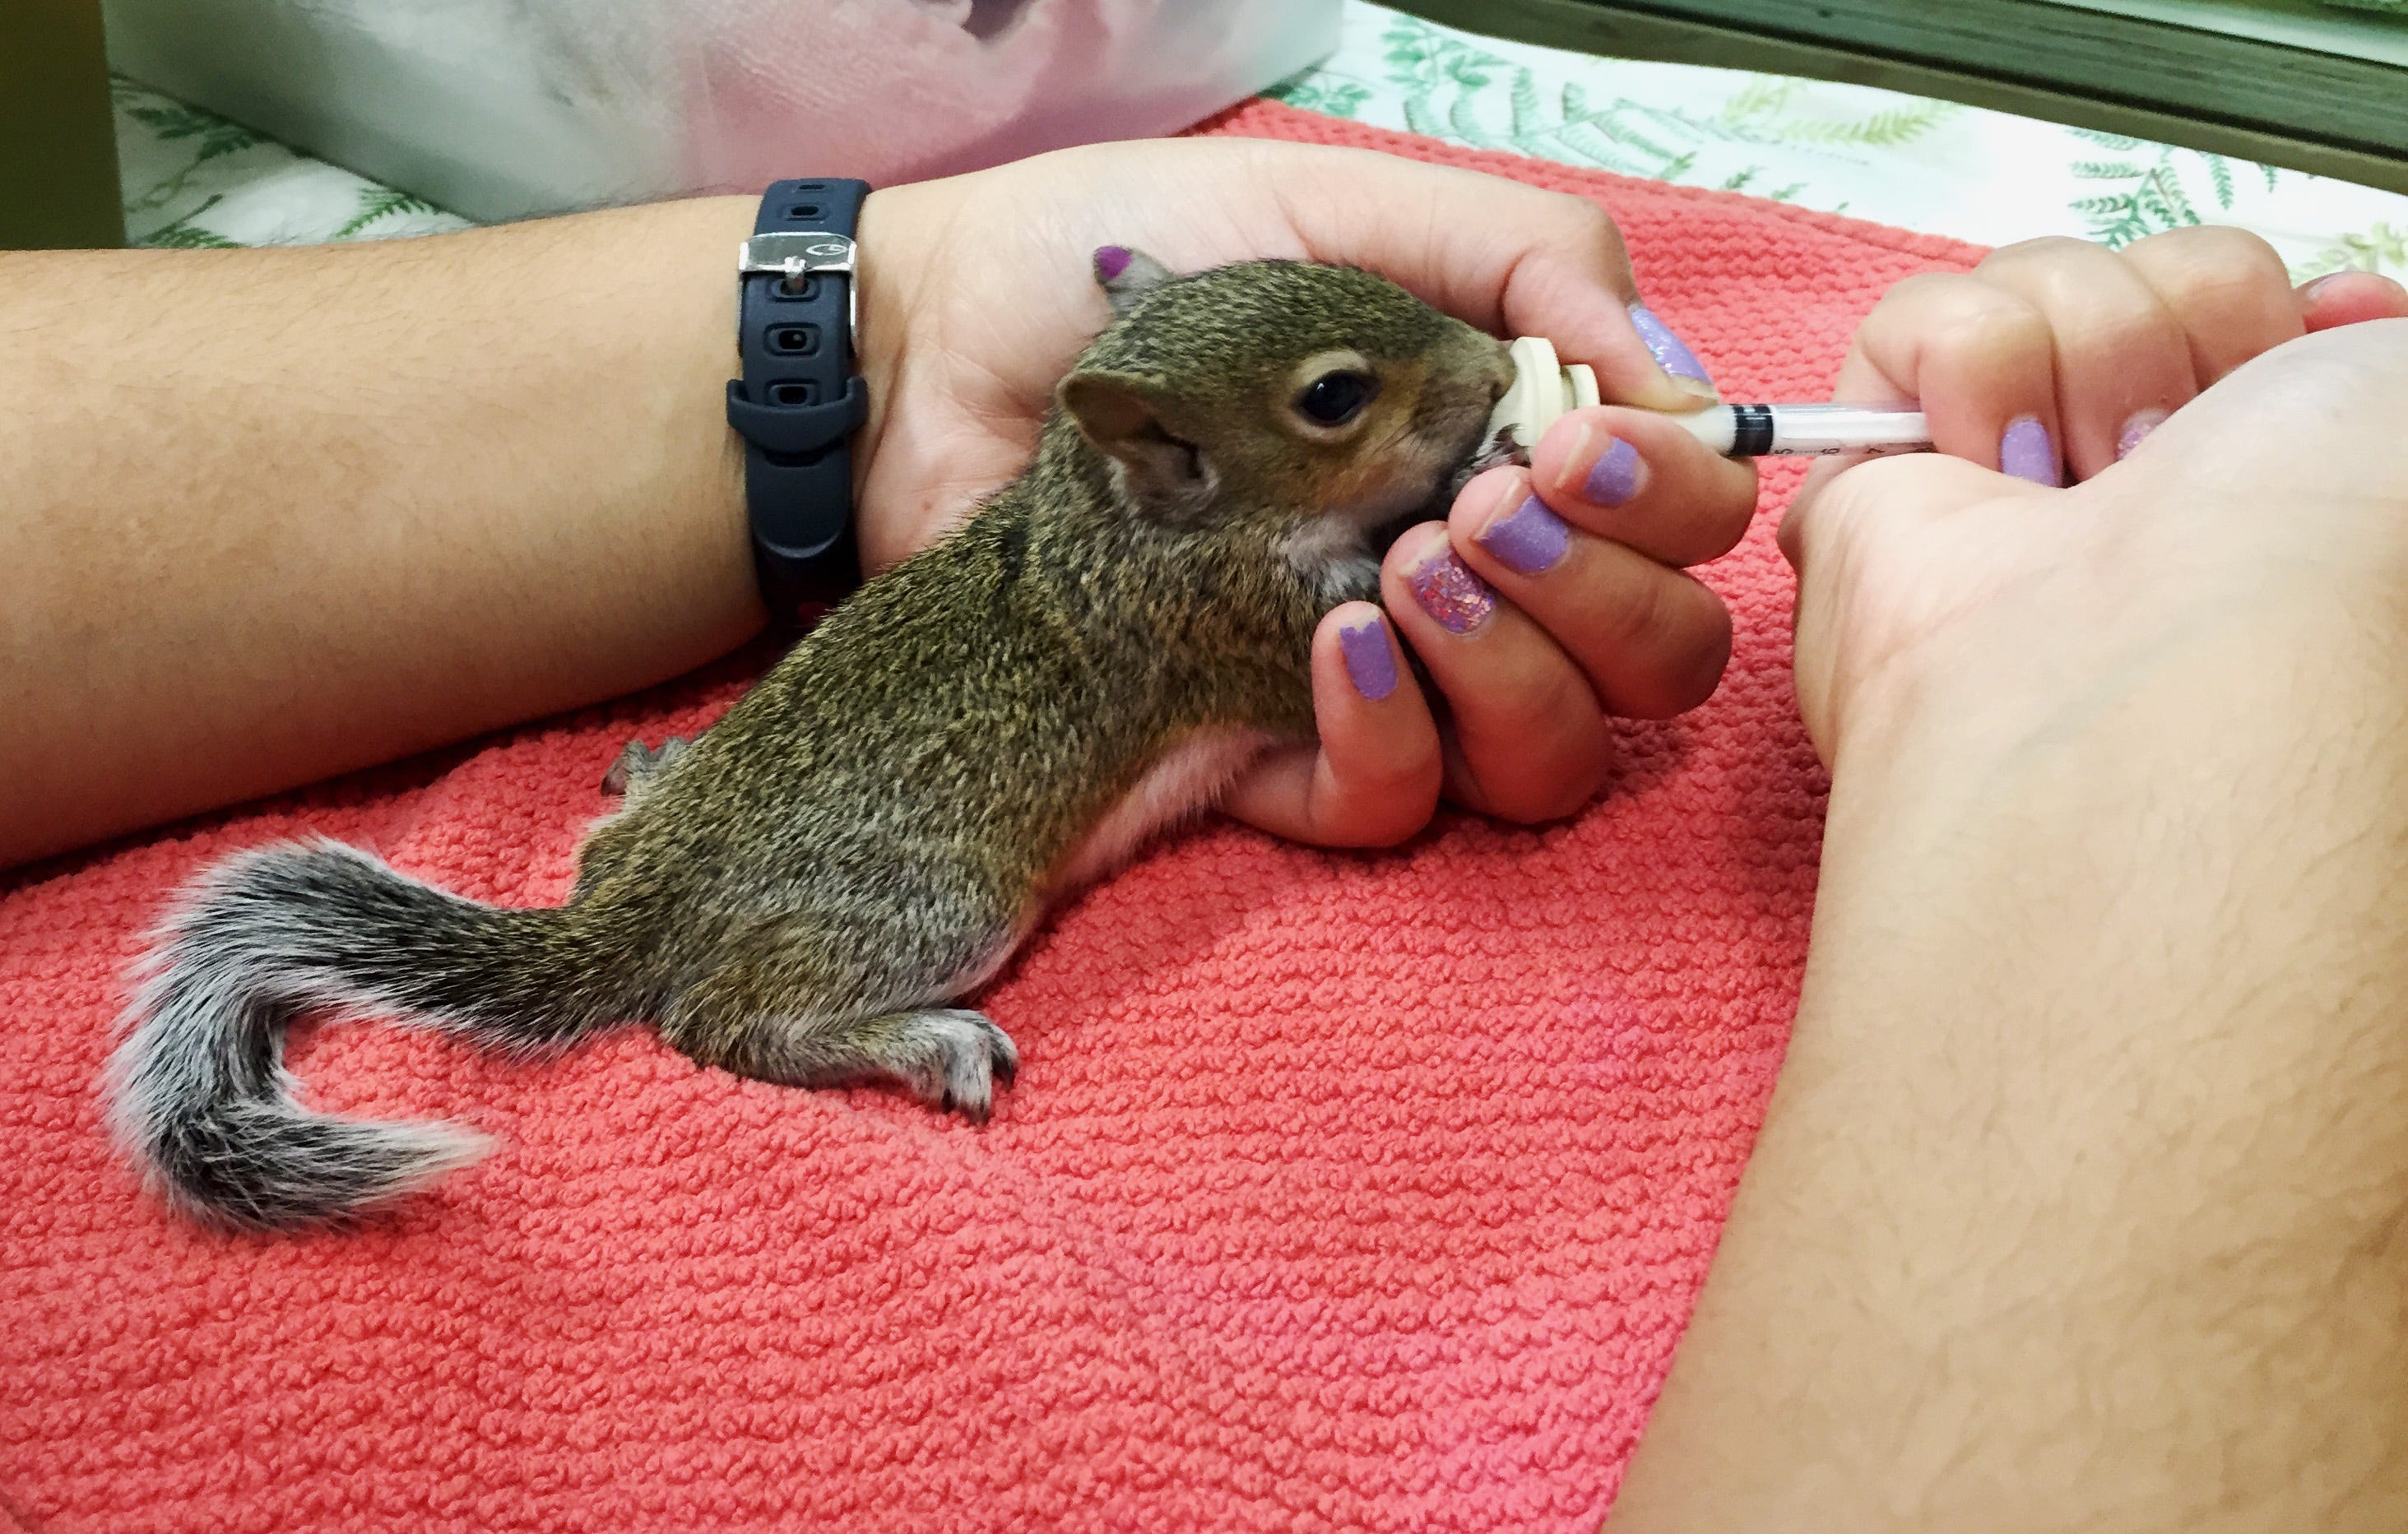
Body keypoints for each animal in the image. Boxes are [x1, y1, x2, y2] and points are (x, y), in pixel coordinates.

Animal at [105, 247, 1516, 1231]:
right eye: (1333, 396)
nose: (1498, 366)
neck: (1114, 519)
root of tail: (644, 900)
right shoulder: (1232, 629)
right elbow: (1357, 604)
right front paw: (1478, 476)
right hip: (939, 901)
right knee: (720, 1023)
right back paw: (920, 1042)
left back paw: (643, 776)